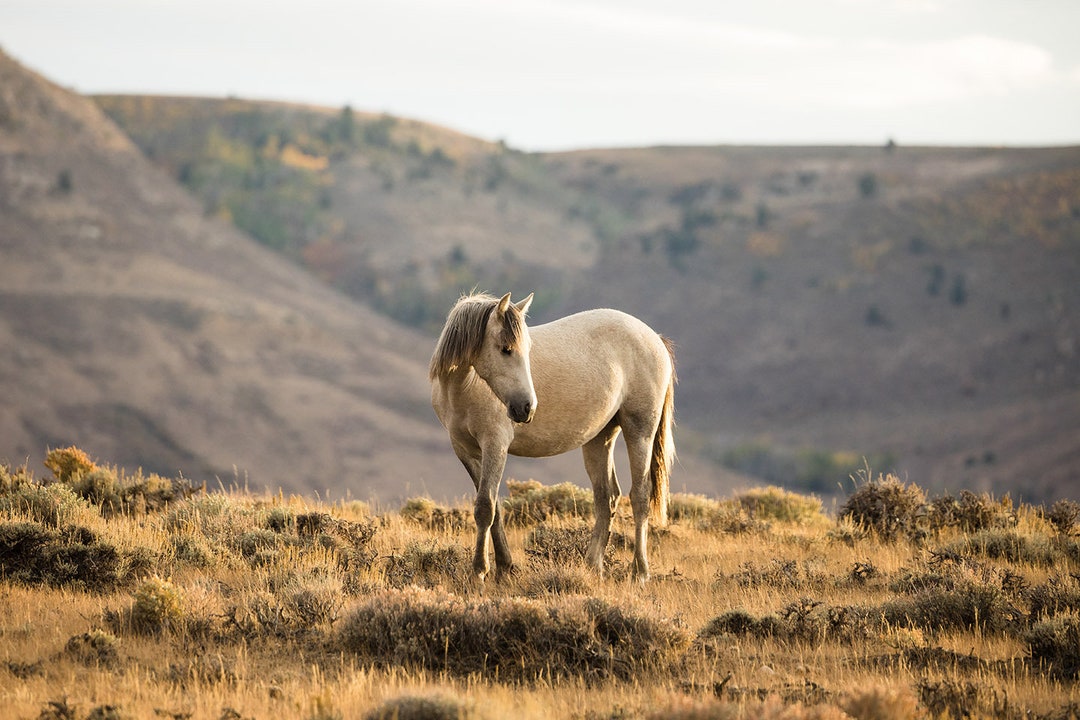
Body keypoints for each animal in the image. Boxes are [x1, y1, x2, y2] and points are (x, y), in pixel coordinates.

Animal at [429, 291, 675, 583]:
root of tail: (654, 338)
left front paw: (479, 571)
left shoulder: (495, 445)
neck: (464, 387)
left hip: (640, 430)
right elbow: (494, 508)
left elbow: (485, 508)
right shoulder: (466, 451)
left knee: (639, 496)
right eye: (506, 349)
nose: (527, 408)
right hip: (600, 437)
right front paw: (505, 568)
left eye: (526, 349)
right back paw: (592, 566)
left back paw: (639, 571)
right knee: (607, 498)